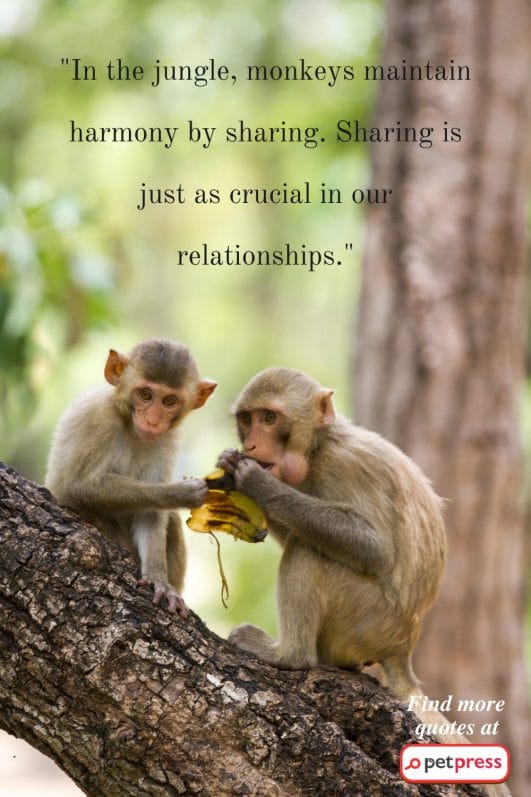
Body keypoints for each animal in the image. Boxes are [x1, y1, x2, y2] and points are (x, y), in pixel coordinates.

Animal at [45, 338, 217, 616]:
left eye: (169, 401)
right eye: (145, 394)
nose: (153, 421)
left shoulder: (168, 439)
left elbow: (152, 514)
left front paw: (159, 579)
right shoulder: (99, 419)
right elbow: (79, 487)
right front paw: (180, 493)